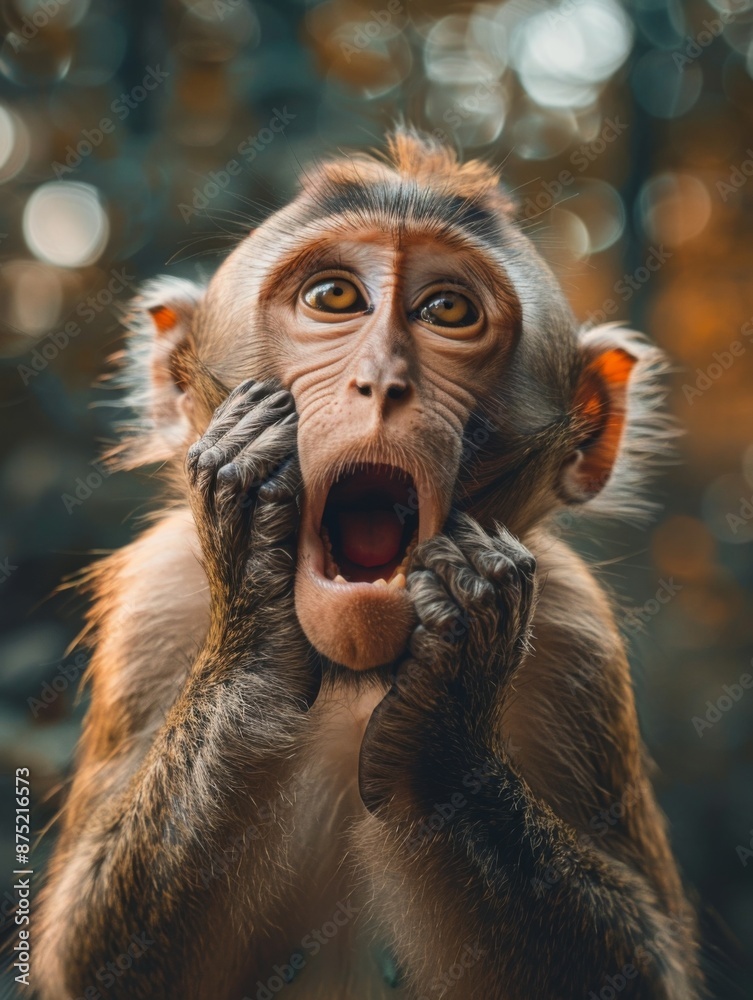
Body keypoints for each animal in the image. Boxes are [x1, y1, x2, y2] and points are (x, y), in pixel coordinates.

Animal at [32, 128, 702, 999]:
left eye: (446, 310)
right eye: (334, 298)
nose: (382, 382)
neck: (354, 674)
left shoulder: (574, 637)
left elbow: (641, 963)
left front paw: (442, 729)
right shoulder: (158, 603)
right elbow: (93, 957)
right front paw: (252, 608)